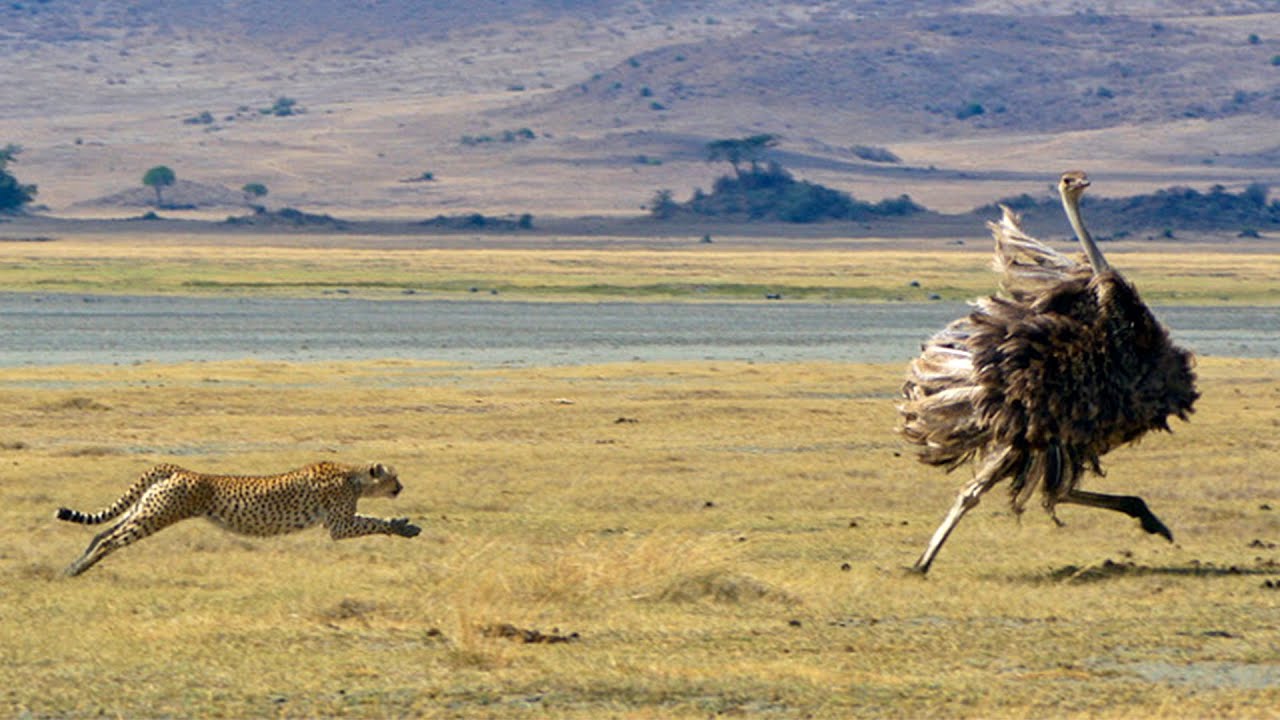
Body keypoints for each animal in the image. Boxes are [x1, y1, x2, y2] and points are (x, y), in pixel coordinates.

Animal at [56, 461, 421, 576]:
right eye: (394, 477)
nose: (401, 487)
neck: (354, 476)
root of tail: (176, 468)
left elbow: (372, 518)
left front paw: (404, 525)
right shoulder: (340, 525)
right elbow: (373, 521)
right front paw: (404, 526)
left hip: (145, 508)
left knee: (100, 533)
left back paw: (74, 564)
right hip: (156, 515)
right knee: (110, 538)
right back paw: (77, 569)